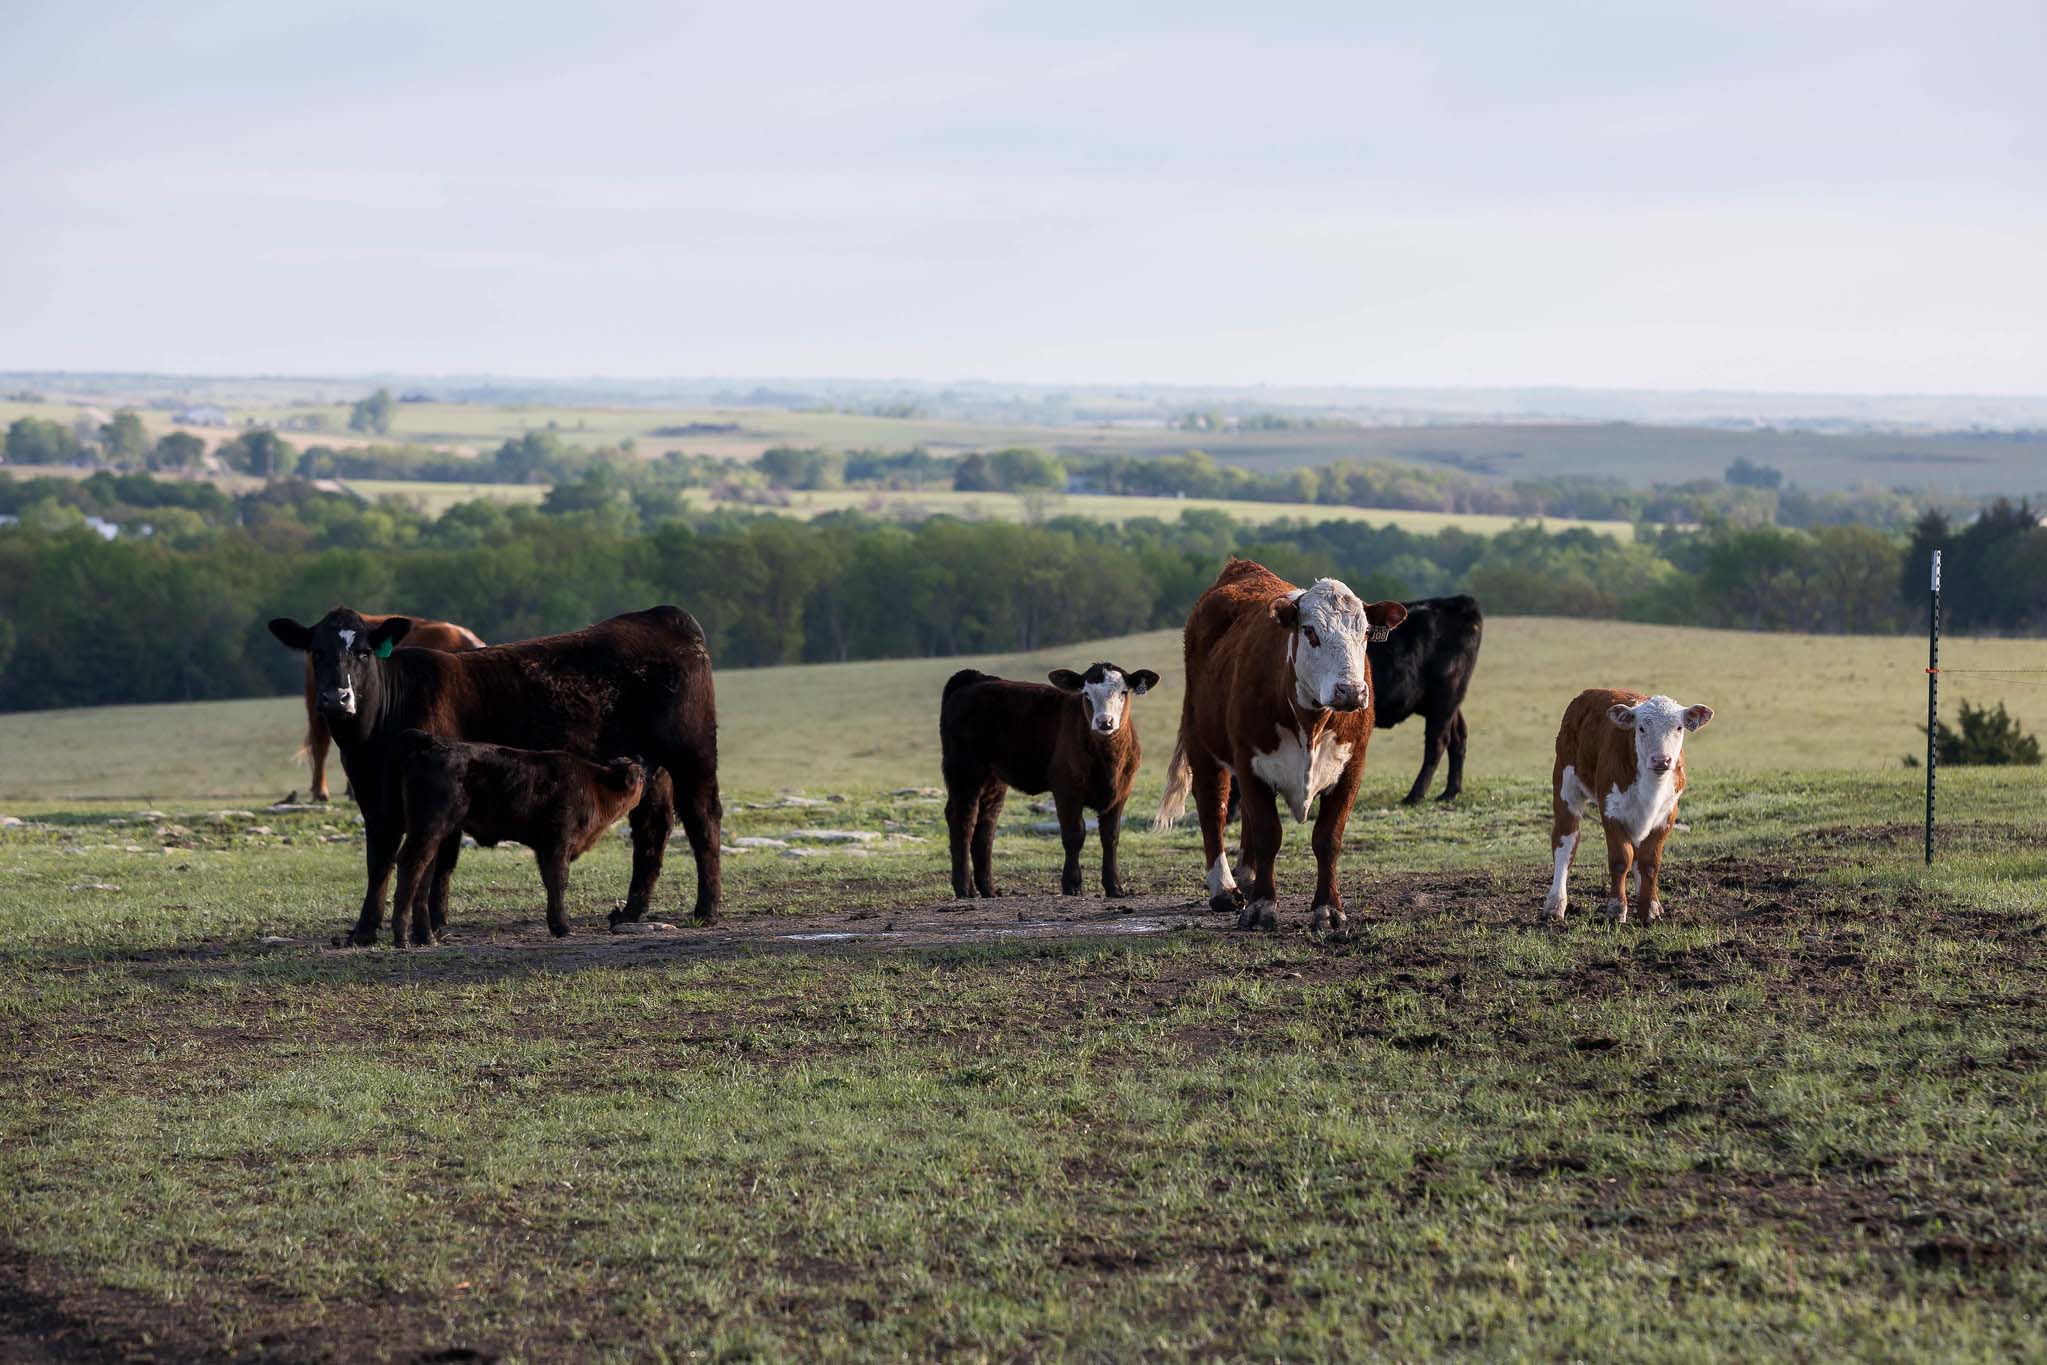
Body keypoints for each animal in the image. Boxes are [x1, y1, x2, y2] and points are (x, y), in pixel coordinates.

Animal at [387, 732, 649, 946]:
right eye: (642, 777)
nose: (649, 781)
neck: (596, 784)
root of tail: (433, 743)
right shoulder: (558, 844)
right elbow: (559, 882)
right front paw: (564, 928)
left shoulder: (544, 848)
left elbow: (550, 882)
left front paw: (556, 925)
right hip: (429, 828)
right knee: (411, 864)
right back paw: (402, 938)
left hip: (433, 834)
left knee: (424, 871)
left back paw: (425, 938)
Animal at [940, 662, 1160, 900]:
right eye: (1086, 694)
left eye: (1123, 692)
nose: (1104, 722)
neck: (1107, 761)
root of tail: (974, 678)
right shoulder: (1066, 789)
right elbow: (1074, 835)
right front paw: (1072, 885)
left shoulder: (1121, 792)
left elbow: (1110, 837)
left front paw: (1114, 887)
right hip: (965, 772)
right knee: (963, 820)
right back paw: (964, 888)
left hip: (993, 779)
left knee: (986, 824)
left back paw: (987, 889)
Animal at [1152, 558, 1408, 931]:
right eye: (1311, 632)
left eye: (1363, 633)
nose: (1351, 690)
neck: (1311, 724)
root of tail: (1242, 567)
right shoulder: (1249, 759)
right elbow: (1268, 833)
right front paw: (1262, 907)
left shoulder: (1352, 766)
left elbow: (1328, 837)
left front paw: (1328, 909)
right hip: (1201, 740)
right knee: (1214, 806)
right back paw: (1224, 887)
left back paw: (1247, 875)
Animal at [1543, 689, 1714, 925]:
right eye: (1641, 728)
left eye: (1678, 727)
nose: (1661, 760)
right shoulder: (1611, 811)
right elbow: (1621, 859)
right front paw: (1616, 909)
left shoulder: (1668, 813)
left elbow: (1649, 861)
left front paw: (1649, 908)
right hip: (1566, 787)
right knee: (1565, 842)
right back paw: (1555, 904)